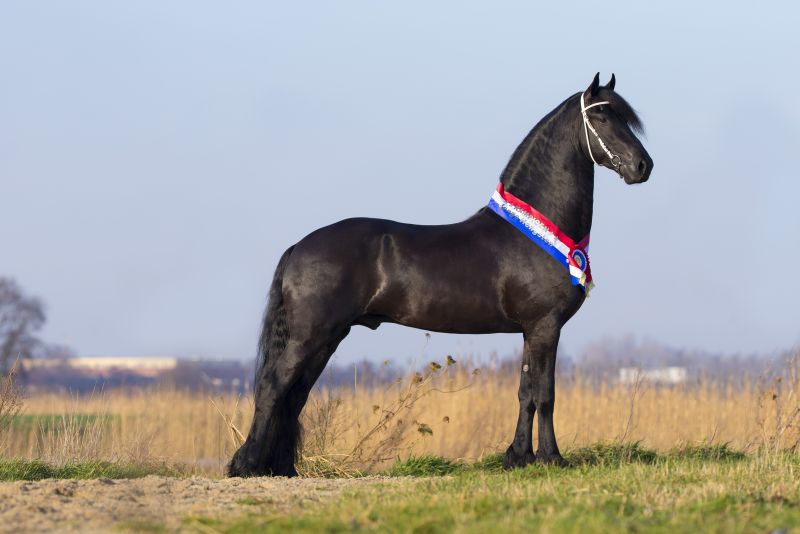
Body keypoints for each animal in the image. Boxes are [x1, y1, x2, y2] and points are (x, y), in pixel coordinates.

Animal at [229, 73, 653, 477]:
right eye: (601, 116)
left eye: (624, 117)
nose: (643, 166)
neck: (534, 229)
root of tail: (298, 246)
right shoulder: (546, 326)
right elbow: (545, 395)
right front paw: (552, 458)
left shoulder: (531, 331)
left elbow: (526, 392)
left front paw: (518, 457)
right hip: (310, 336)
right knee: (273, 389)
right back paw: (246, 466)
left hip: (327, 337)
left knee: (295, 396)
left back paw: (283, 468)